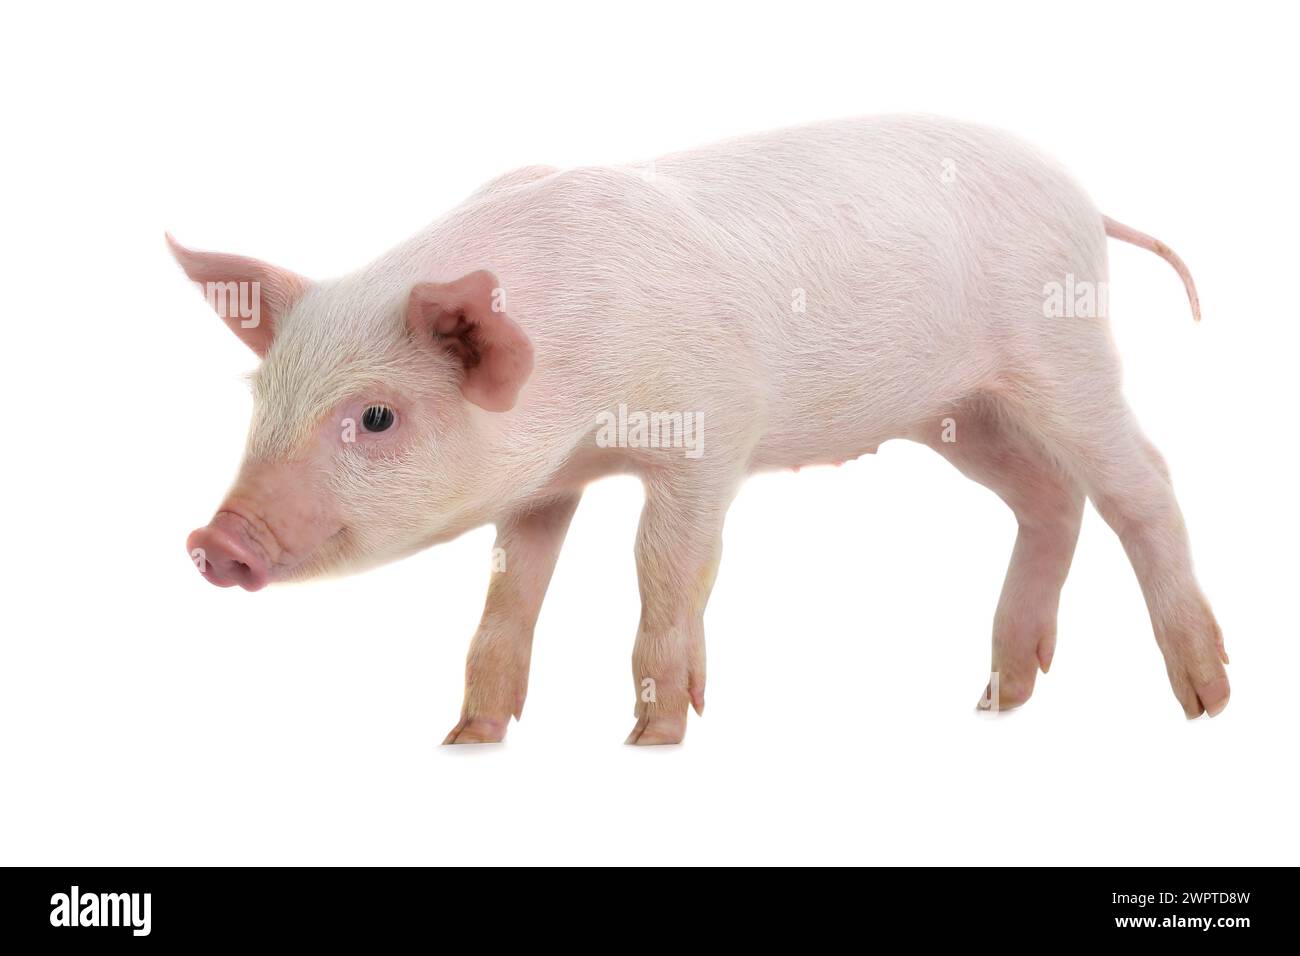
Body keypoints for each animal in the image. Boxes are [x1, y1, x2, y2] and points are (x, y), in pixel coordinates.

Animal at [173, 115, 1229, 744]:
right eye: (262, 397)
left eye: (376, 415)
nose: (215, 541)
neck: (584, 408)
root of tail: (1086, 200)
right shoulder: (546, 481)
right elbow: (510, 597)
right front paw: (467, 740)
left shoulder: (709, 432)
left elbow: (665, 571)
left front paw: (654, 738)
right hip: (962, 414)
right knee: (1052, 497)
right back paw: (996, 700)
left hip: (1063, 349)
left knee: (1143, 480)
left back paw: (1207, 701)